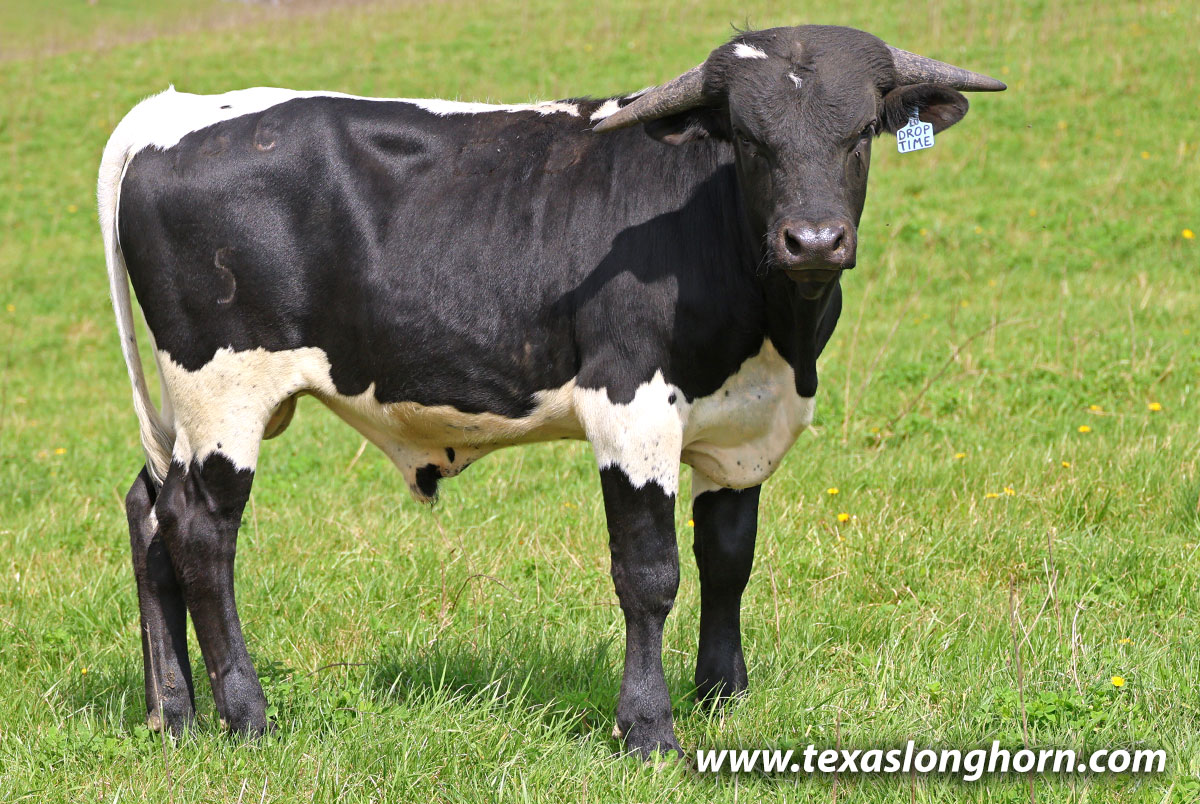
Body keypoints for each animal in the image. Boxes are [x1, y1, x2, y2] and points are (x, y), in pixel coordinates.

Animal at [99, 24, 1003, 758]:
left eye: (861, 134)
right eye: (750, 139)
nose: (812, 239)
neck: (778, 330)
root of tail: (169, 111)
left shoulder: (742, 428)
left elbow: (728, 559)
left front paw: (722, 695)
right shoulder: (631, 409)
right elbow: (651, 575)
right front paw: (649, 728)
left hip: (184, 415)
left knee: (151, 510)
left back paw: (172, 714)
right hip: (224, 391)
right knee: (201, 532)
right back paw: (245, 715)